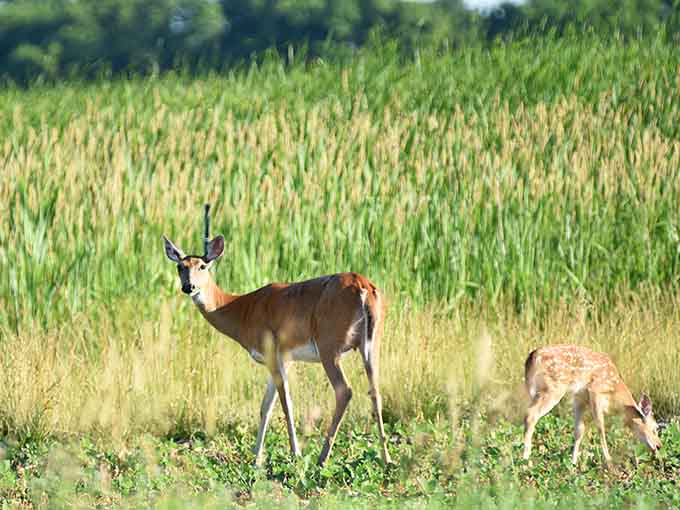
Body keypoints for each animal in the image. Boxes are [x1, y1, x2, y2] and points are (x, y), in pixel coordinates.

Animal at [162, 205, 391, 467]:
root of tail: (364, 288)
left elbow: (285, 404)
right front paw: (256, 458)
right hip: (372, 341)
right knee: (376, 390)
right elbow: (265, 406)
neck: (241, 310)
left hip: (329, 344)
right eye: (180, 267)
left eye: (202, 266)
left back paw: (322, 458)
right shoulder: (283, 358)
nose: (188, 287)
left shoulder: (272, 350)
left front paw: (294, 453)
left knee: (345, 391)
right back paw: (386, 458)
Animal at [522, 344, 661, 468]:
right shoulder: (596, 391)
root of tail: (533, 356)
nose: (659, 445)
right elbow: (601, 428)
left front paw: (573, 463)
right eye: (654, 428)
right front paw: (609, 463)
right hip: (554, 387)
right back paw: (526, 460)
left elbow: (579, 430)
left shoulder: (580, 398)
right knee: (531, 415)